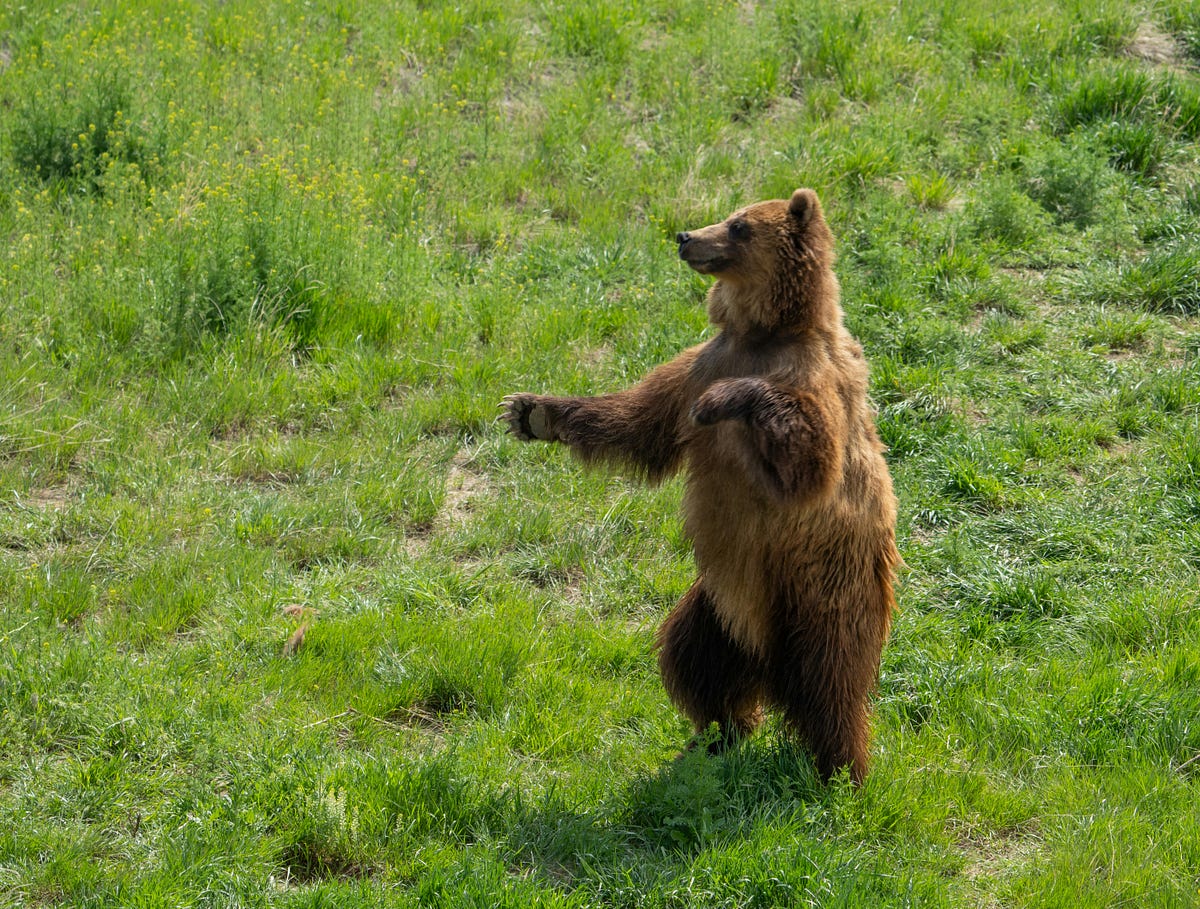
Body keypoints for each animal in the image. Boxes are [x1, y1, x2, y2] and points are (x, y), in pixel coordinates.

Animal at [501, 188, 899, 783]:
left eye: (738, 226)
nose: (686, 236)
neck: (763, 332)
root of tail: (768, 666)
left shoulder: (812, 377)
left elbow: (810, 463)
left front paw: (724, 401)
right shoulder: (702, 362)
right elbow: (640, 421)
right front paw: (532, 412)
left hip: (821, 591)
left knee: (831, 682)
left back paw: (838, 771)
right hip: (719, 608)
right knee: (692, 657)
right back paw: (716, 736)